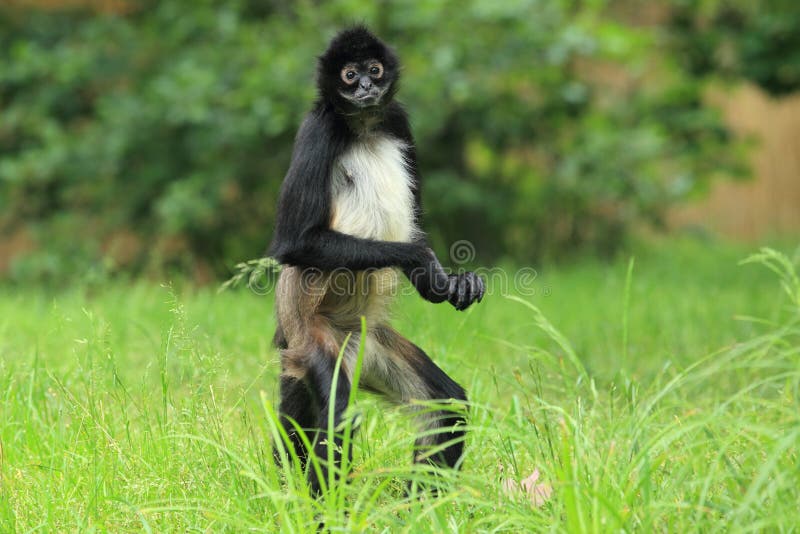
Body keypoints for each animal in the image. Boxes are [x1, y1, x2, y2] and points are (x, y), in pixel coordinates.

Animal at [268, 26, 485, 494]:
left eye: (374, 69)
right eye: (349, 75)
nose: (366, 86)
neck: (364, 126)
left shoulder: (397, 118)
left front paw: (450, 284)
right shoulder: (318, 128)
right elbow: (293, 242)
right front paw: (421, 260)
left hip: (371, 341)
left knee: (447, 407)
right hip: (317, 338)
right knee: (338, 419)